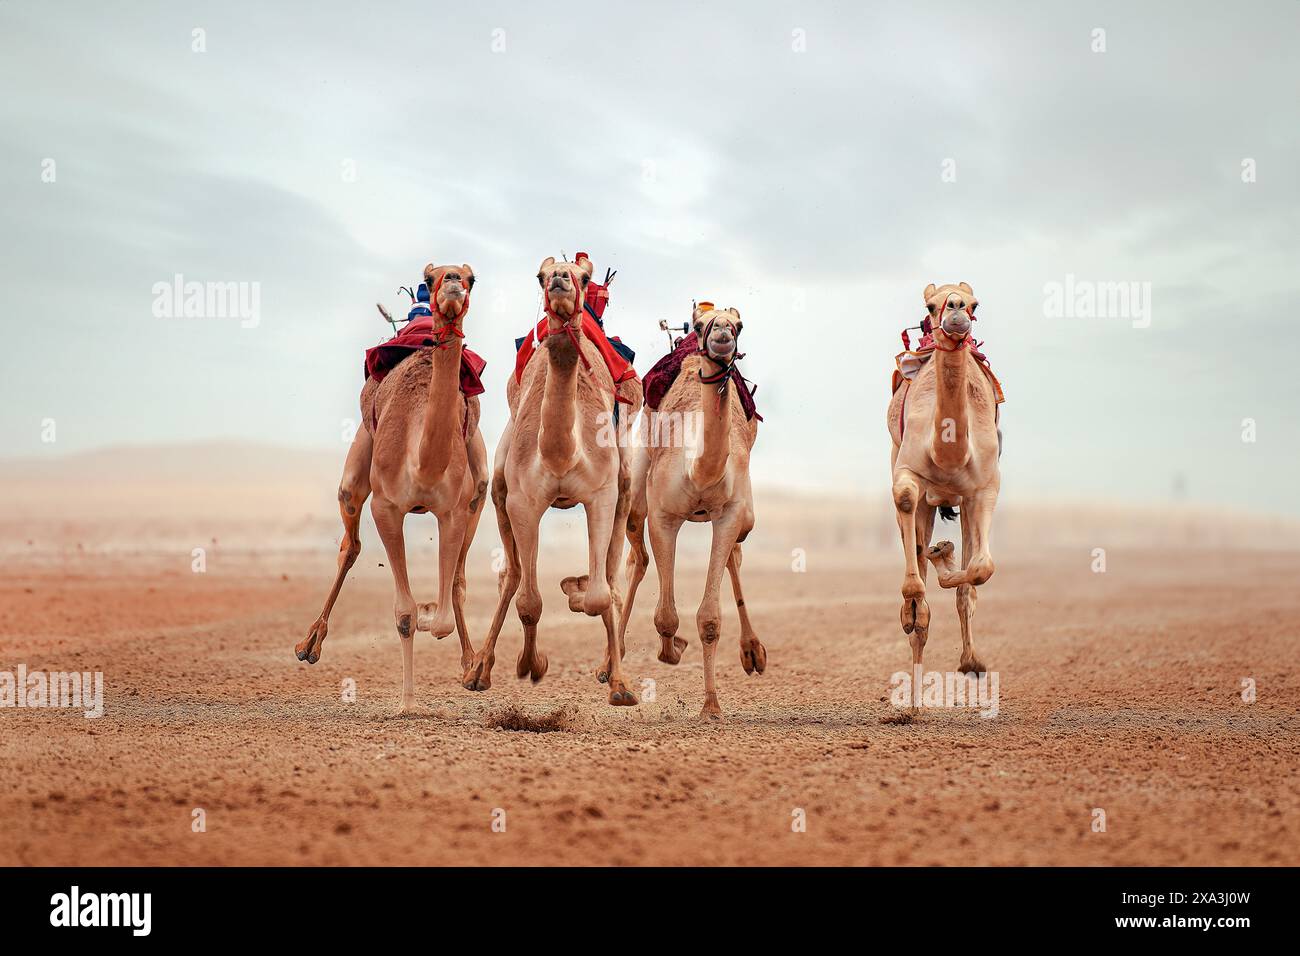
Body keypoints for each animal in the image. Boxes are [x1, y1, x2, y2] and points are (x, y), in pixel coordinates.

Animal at [296, 263, 488, 714]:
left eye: (471, 278)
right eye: (431, 277)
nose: (452, 283)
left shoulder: (452, 510)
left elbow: (440, 615)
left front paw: (434, 618)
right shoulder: (386, 507)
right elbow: (403, 614)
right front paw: (407, 704)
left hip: (480, 486)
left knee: (459, 577)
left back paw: (473, 667)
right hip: (357, 469)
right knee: (350, 543)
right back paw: (309, 644)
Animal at [462, 255, 643, 705]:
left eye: (583, 277)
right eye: (541, 276)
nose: (561, 279)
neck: (562, 452)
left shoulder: (601, 495)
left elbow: (599, 595)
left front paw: (620, 684)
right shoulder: (523, 502)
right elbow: (528, 600)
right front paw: (532, 664)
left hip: (625, 488)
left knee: (613, 582)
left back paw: (612, 673)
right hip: (499, 488)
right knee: (511, 576)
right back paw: (479, 670)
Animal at [618, 303, 764, 718]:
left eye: (740, 323)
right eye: (699, 325)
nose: (722, 335)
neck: (697, 468)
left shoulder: (729, 513)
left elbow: (710, 618)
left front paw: (712, 706)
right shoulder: (663, 515)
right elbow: (665, 616)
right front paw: (671, 652)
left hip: (745, 514)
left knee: (736, 553)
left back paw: (753, 652)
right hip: (638, 485)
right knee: (636, 556)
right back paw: (612, 667)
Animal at [887, 282, 1000, 700]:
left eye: (975, 304)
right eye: (930, 306)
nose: (955, 310)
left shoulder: (984, 487)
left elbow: (980, 570)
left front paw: (945, 555)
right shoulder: (907, 471)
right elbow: (904, 498)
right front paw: (912, 606)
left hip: (961, 503)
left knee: (968, 583)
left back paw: (969, 663)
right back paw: (914, 702)